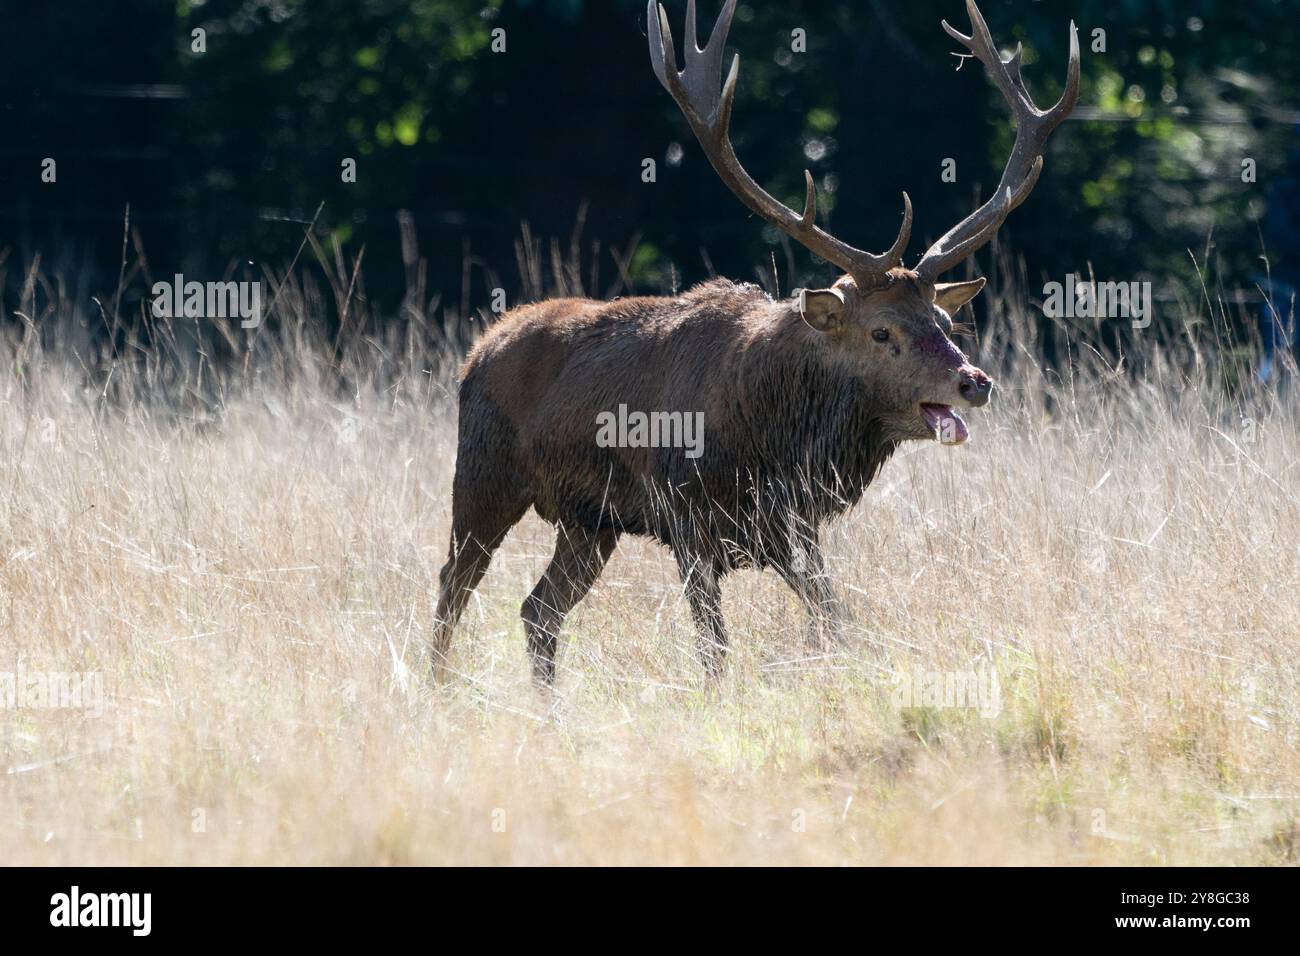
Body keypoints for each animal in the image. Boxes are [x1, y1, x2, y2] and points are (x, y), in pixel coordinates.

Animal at [431, 0, 1079, 685]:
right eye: (882, 331)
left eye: (946, 324)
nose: (974, 381)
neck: (769, 438)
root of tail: (478, 350)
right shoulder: (685, 515)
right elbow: (715, 650)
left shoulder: (792, 527)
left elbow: (836, 623)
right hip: (483, 472)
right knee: (452, 586)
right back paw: (438, 688)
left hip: (590, 522)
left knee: (538, 611)